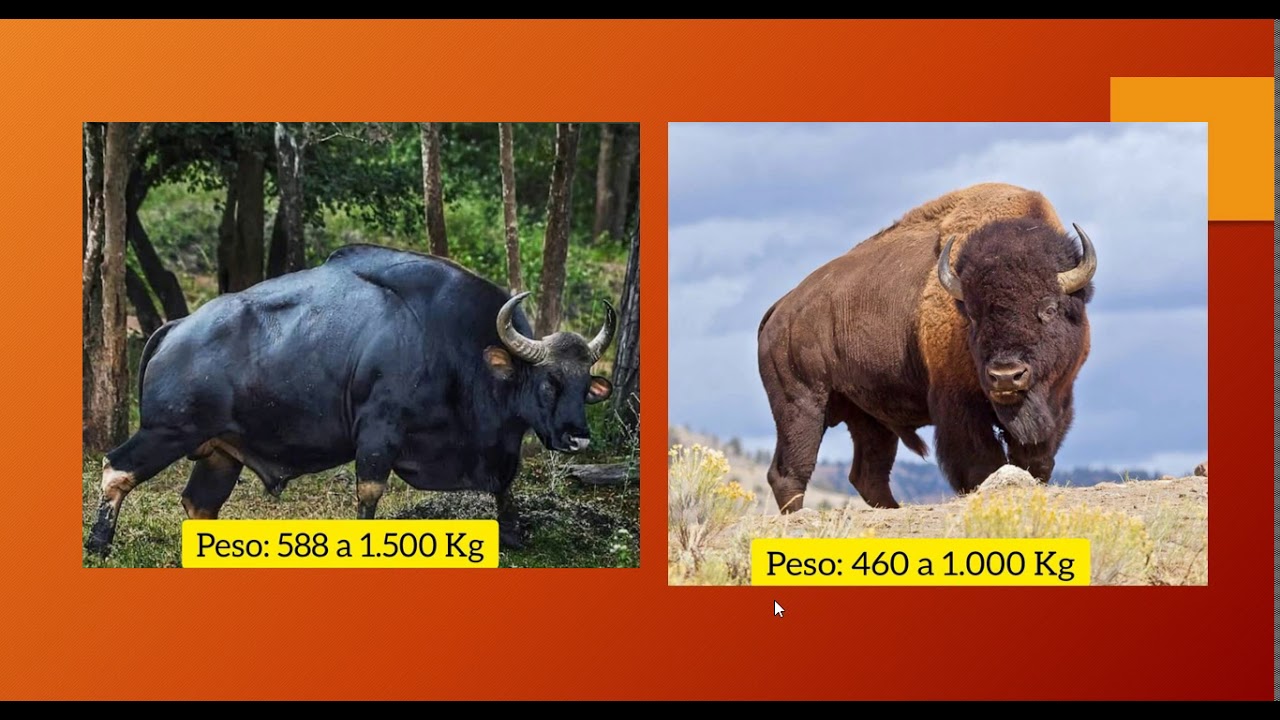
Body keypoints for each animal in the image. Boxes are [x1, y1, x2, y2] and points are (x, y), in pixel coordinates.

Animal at [85, 243, 616, 557]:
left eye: (584, 385)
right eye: (548, 381)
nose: (577, 438)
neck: (452, 347)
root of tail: (175, 328)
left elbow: (505, 485)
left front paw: (512, 534)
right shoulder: (379, 434)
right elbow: (369, 495)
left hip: (219, 453)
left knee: (199, 504)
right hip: (168, 431)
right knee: (117, 468)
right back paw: (99, 543)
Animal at [756, 183, 1096, 511]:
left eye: (1049, 308)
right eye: (973, 314)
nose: (1005, 375)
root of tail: (780, 309)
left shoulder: (1057, 403)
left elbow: (1036, 460)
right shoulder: (958, 407)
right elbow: (982, 464)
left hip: (868, 419)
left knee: (868, 474)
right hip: (802, 405)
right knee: (790, 471)